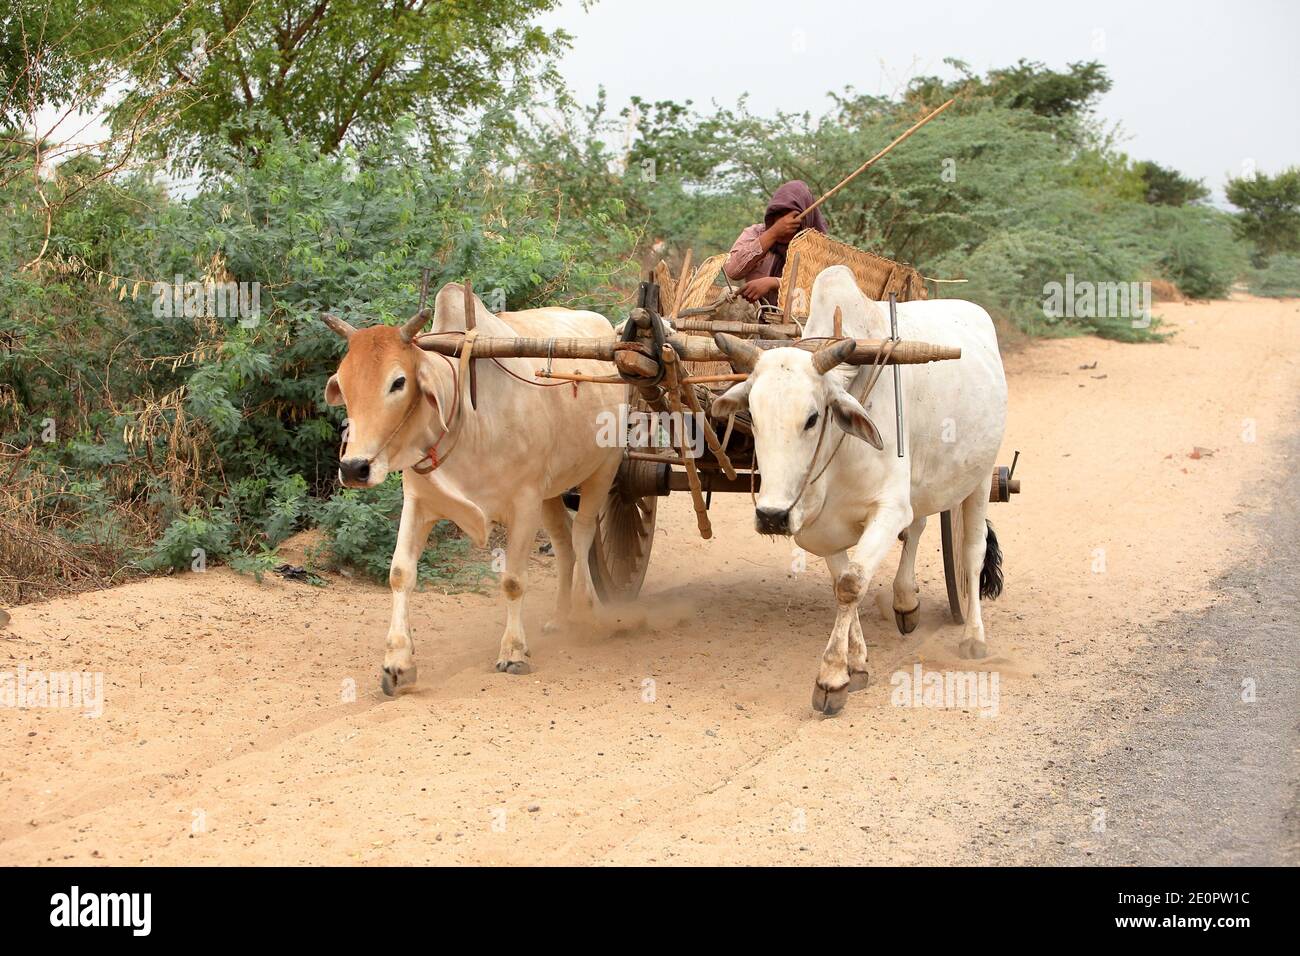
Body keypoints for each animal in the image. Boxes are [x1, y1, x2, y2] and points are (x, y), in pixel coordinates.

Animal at [322, 283, 624, 694]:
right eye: (343, 382)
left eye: (398, 382)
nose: (354, 467)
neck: (466, 418)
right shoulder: (419, 503)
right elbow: (400, 573)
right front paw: (398, 663)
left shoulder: (524, 503)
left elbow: (513, 580)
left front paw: (513, 651)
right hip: (551, 491)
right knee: (564, 545)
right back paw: (561, 617)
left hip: (603, 470)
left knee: (582, 536)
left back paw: (589, 612)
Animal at [711, 265, 1008, 717]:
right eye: (753, 418)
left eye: (812, 418)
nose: (772, 516)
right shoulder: (821, 526)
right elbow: (845, 579)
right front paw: (858, 664)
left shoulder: (888, 509)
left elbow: (852, 583)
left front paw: (831, 677)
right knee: (918, 527)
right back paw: (905, 600)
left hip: (979, 476)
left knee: (971, 553)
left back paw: (973, 636)